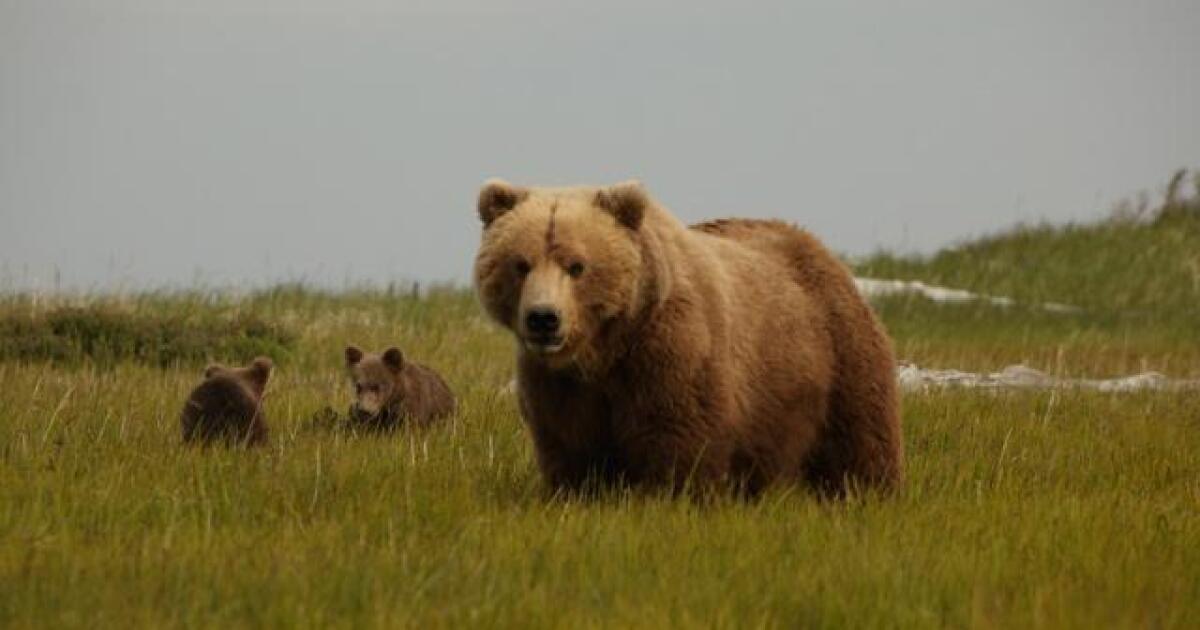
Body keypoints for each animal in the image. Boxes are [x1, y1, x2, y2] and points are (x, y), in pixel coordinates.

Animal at [473, 179, 903, 497]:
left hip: (837, 358)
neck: (605, 350)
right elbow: (572, 452)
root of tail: (820, 250)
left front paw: (669, 497)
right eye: (521, 264)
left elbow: (679, 444)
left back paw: (868, 493)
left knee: (860, 445)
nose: (543, 318)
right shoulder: (560, 387)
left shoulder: (670, 355)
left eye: (576, 265)